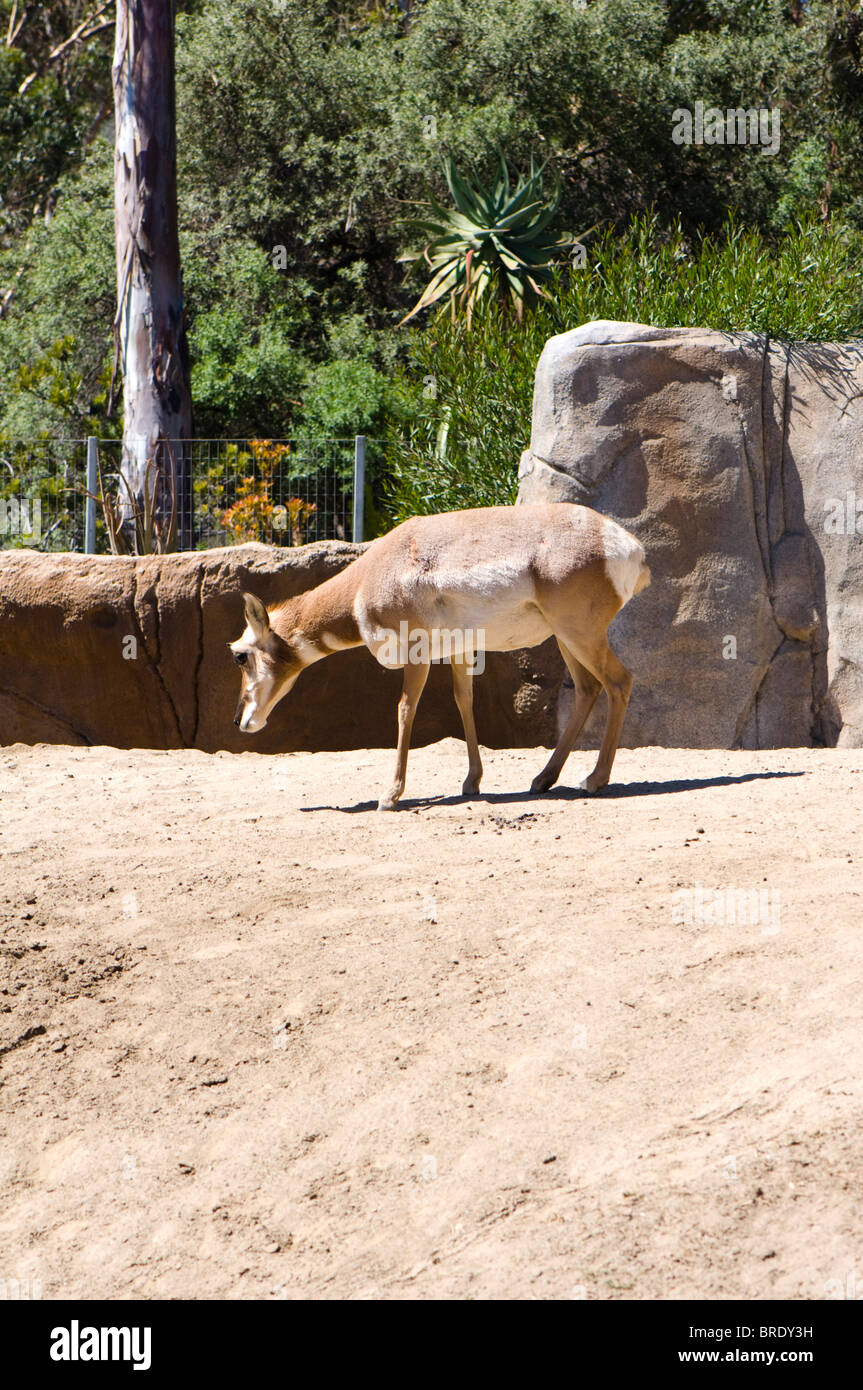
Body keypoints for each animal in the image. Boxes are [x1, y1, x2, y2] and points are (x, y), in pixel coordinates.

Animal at [229, 503, 650, 810]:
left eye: (240, 656)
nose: (238, 720)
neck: (372, 574)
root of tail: (627, 546)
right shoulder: (460, 651)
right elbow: (463, 701)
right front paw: (471, 782)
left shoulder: (418, 655)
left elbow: (405, 709)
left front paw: (390, 795)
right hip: (566, 638)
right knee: (588, 688)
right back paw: (543, 779)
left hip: (580, 634)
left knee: (619, 681)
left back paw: (593, 780)